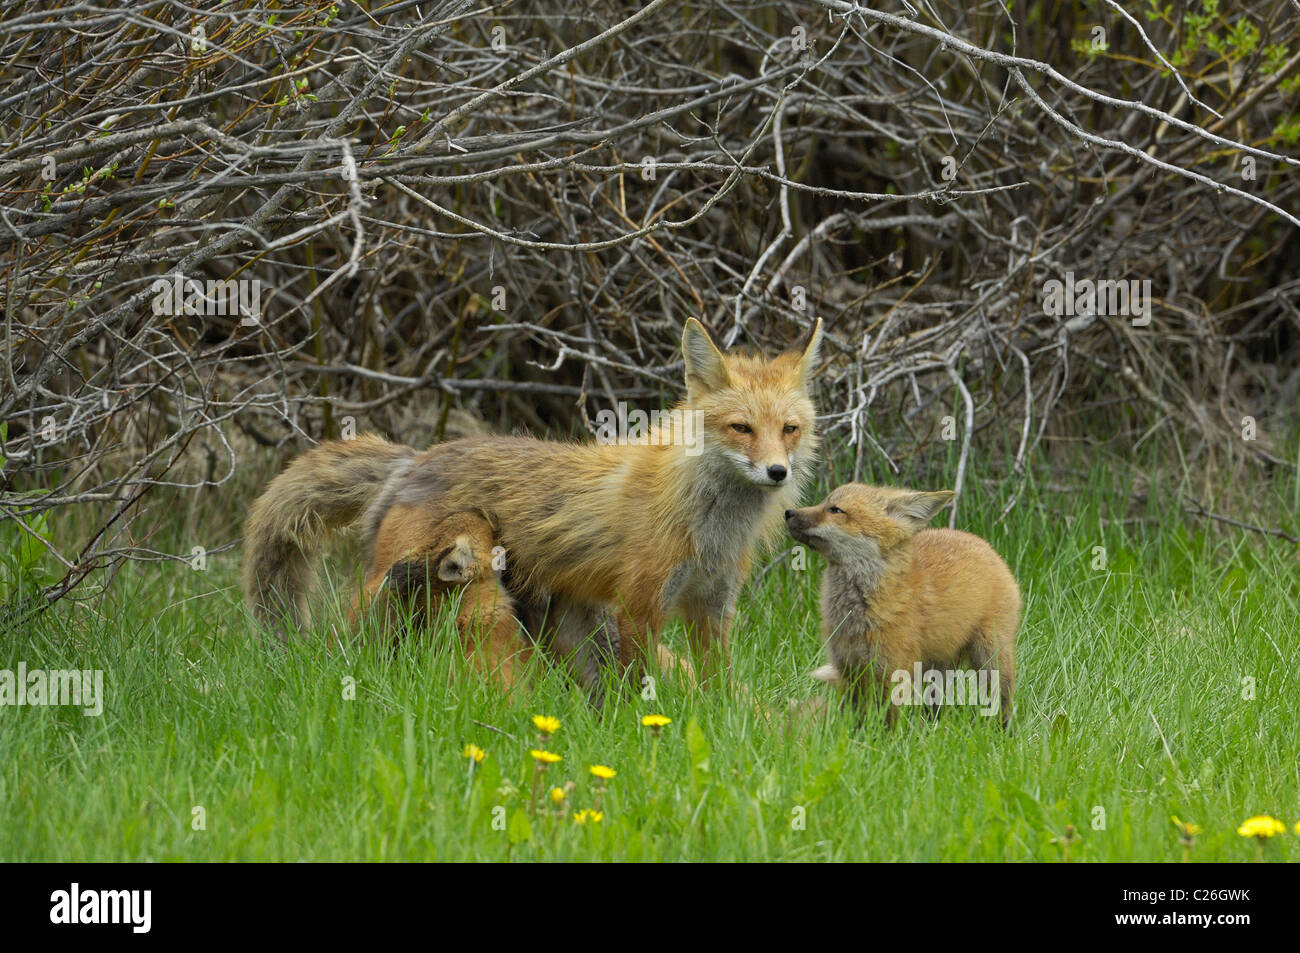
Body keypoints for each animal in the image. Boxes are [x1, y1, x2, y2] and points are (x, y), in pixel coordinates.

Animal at [242, 318, 823, 688]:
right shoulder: (640, 608)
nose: (777, 472)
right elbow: (639, 690)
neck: (706, 521)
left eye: (788, 430)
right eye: (741, 428)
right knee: (358, 619)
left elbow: (718, 688)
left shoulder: (712, 607)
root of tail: (417, 456)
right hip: (424, 579)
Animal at [783, 483, 1020, 727]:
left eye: (835, 510)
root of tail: (983, 543)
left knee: (1001, 699)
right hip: (937, 669)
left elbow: (889, 720)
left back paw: (1001, 730)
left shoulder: (891, 670)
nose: (788, 512)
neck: (857, 613)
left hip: (991, 657)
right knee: (936, 706)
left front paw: (884, 737)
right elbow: (857, 717)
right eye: (823, 502)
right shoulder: (848, 668)